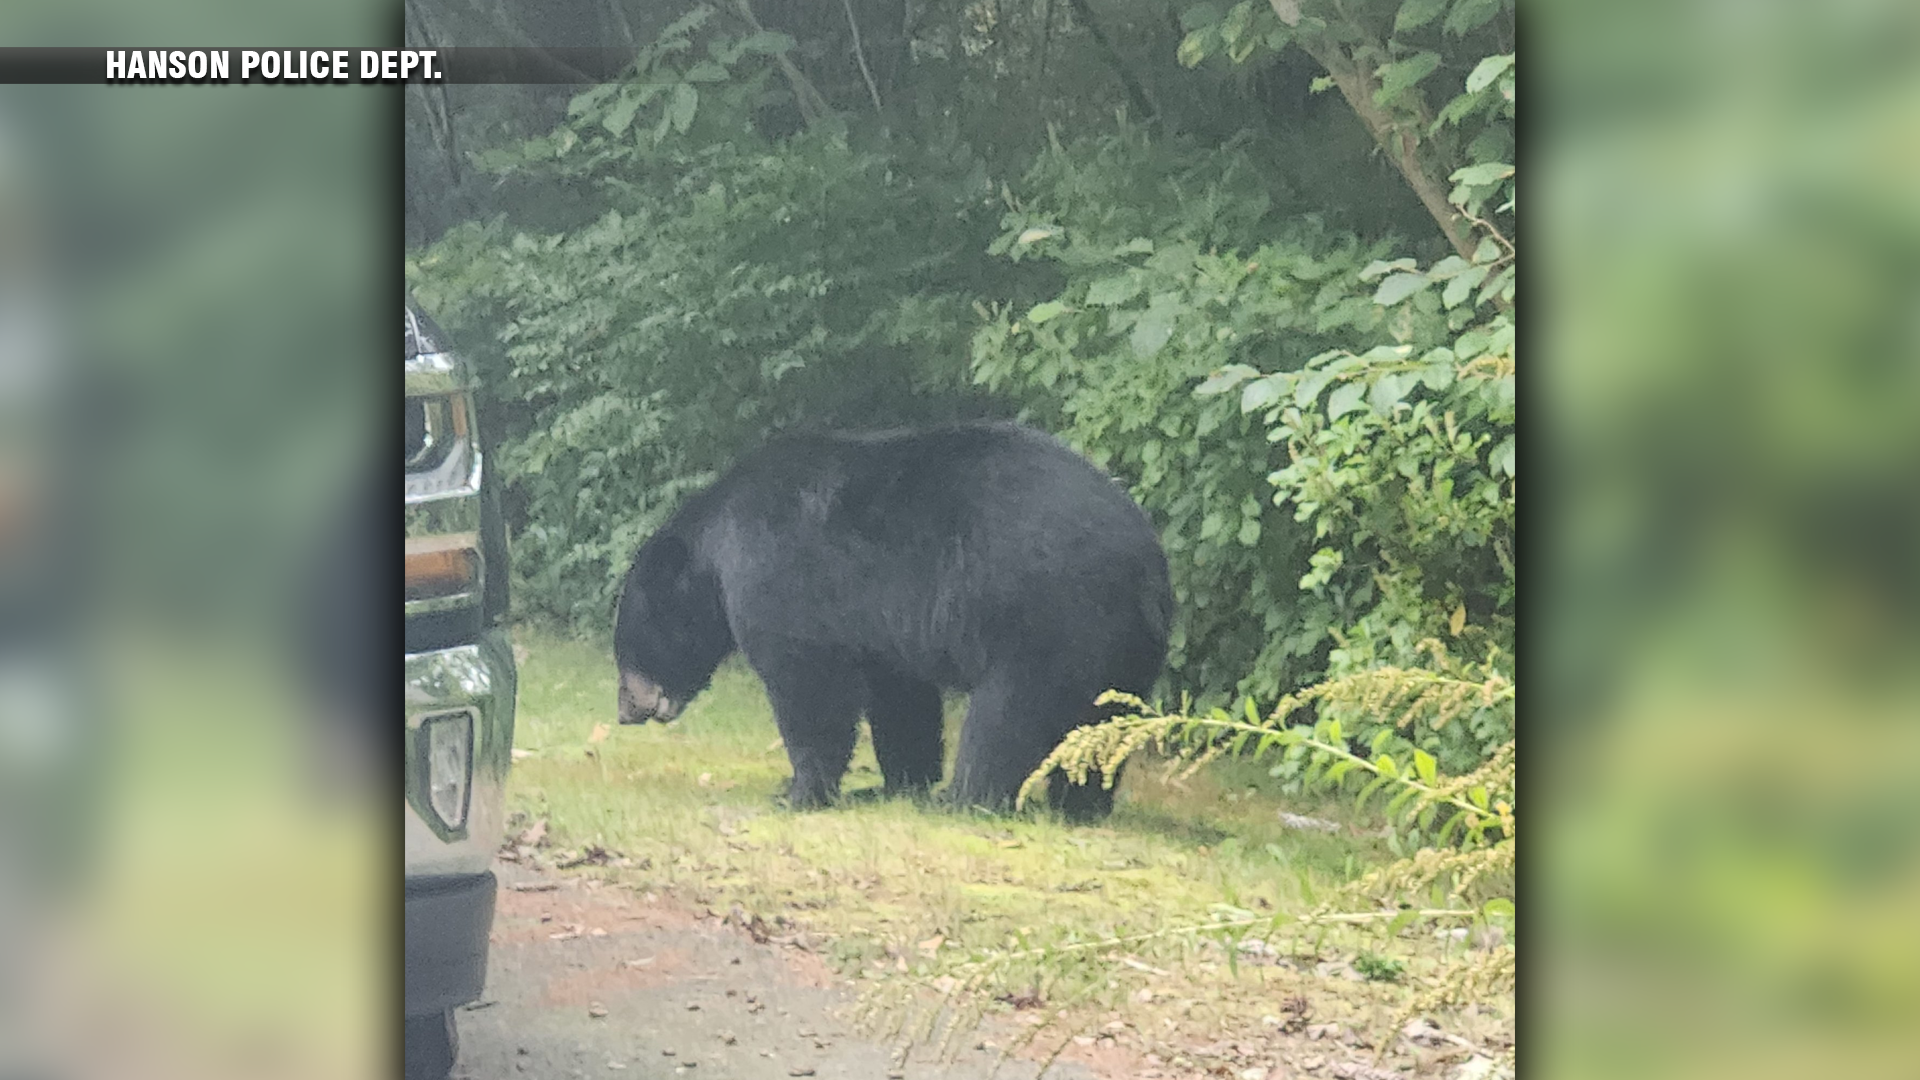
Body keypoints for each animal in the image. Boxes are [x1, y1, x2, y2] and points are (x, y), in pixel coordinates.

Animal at [613, 421, 1172, 818]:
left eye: (626, 645)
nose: (625, 710)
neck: (717, 551)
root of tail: (1143, 559)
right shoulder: (881, 629)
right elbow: (901, 699)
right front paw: (897, 782)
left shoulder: (781, 575)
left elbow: (809, 689)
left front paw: (798, 791)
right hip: (1124, 647)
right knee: (1104, 725)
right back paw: (1078, 805)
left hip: (1045, 617)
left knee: (1010, 714)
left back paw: (963, 798)